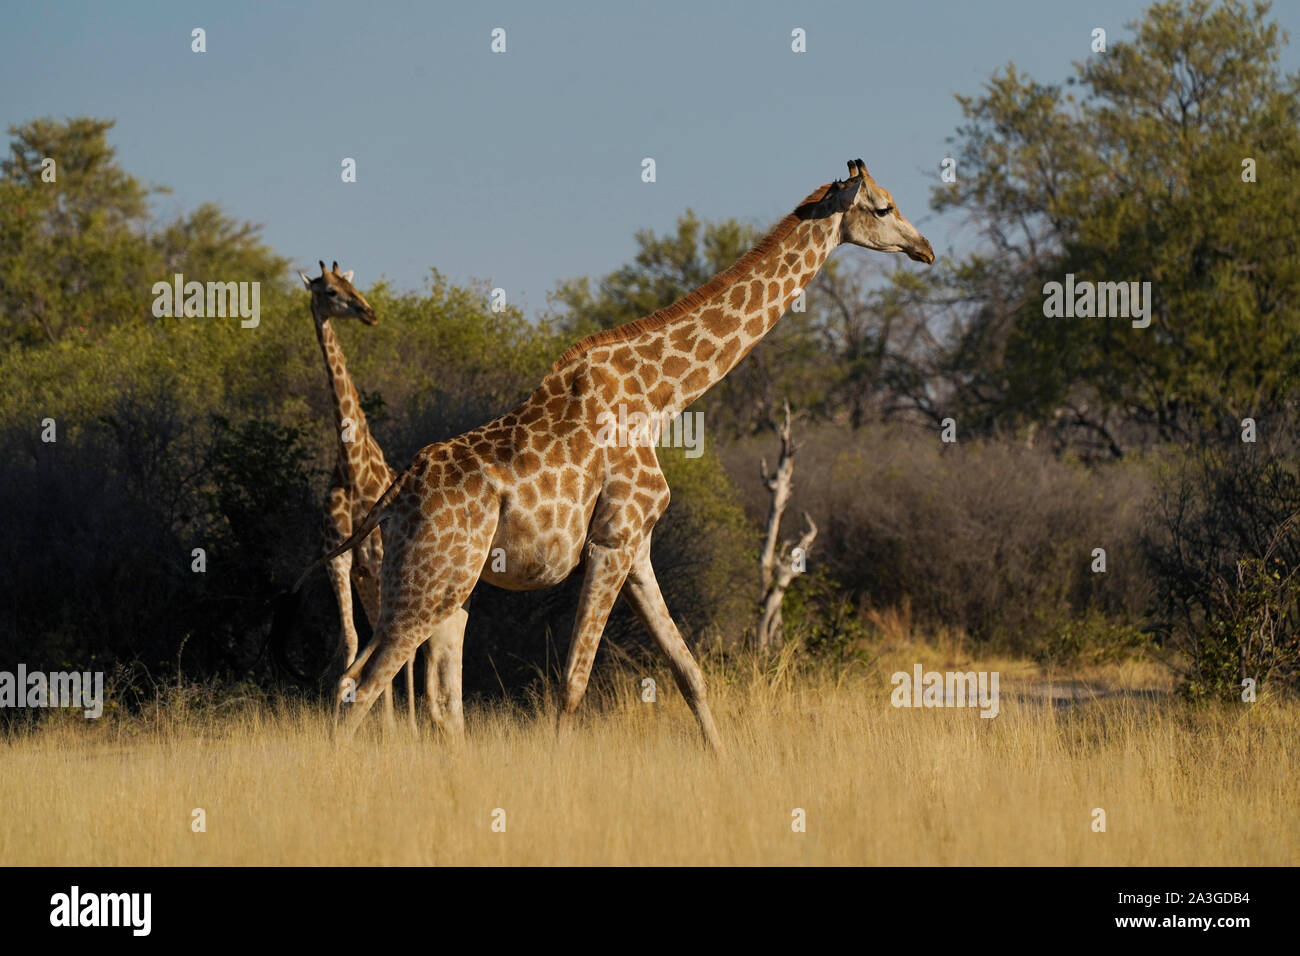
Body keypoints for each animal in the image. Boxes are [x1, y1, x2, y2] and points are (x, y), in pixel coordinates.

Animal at [300, 261, 456, 731]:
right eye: (330, 292)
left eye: (352, 286)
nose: (368, 312)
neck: (352, 469)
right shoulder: (339, 560)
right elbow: (352, 639)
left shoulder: (377, 558)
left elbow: (388, 645)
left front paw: (393, 727)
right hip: (369, 577)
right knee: (378, 634)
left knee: (404, 641)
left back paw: (406, 723)